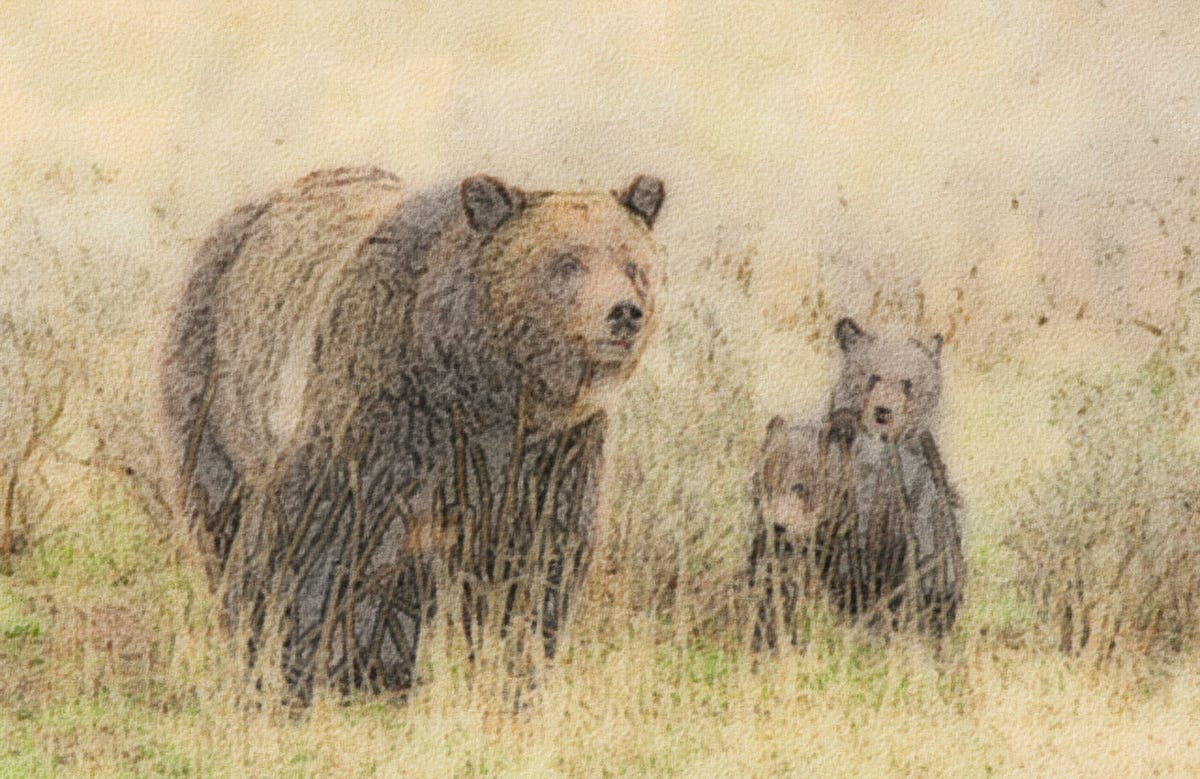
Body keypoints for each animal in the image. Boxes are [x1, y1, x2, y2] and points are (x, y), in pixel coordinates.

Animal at [159, 166, 665, 699]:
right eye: (567, 263)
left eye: (633, 263)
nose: (623, 312)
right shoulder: (373, 413)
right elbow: (305, 537)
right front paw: (285, 668)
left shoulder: (546, 454)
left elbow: (537, 558)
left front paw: (515, 671)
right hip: (214, 386)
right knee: (219, 513)